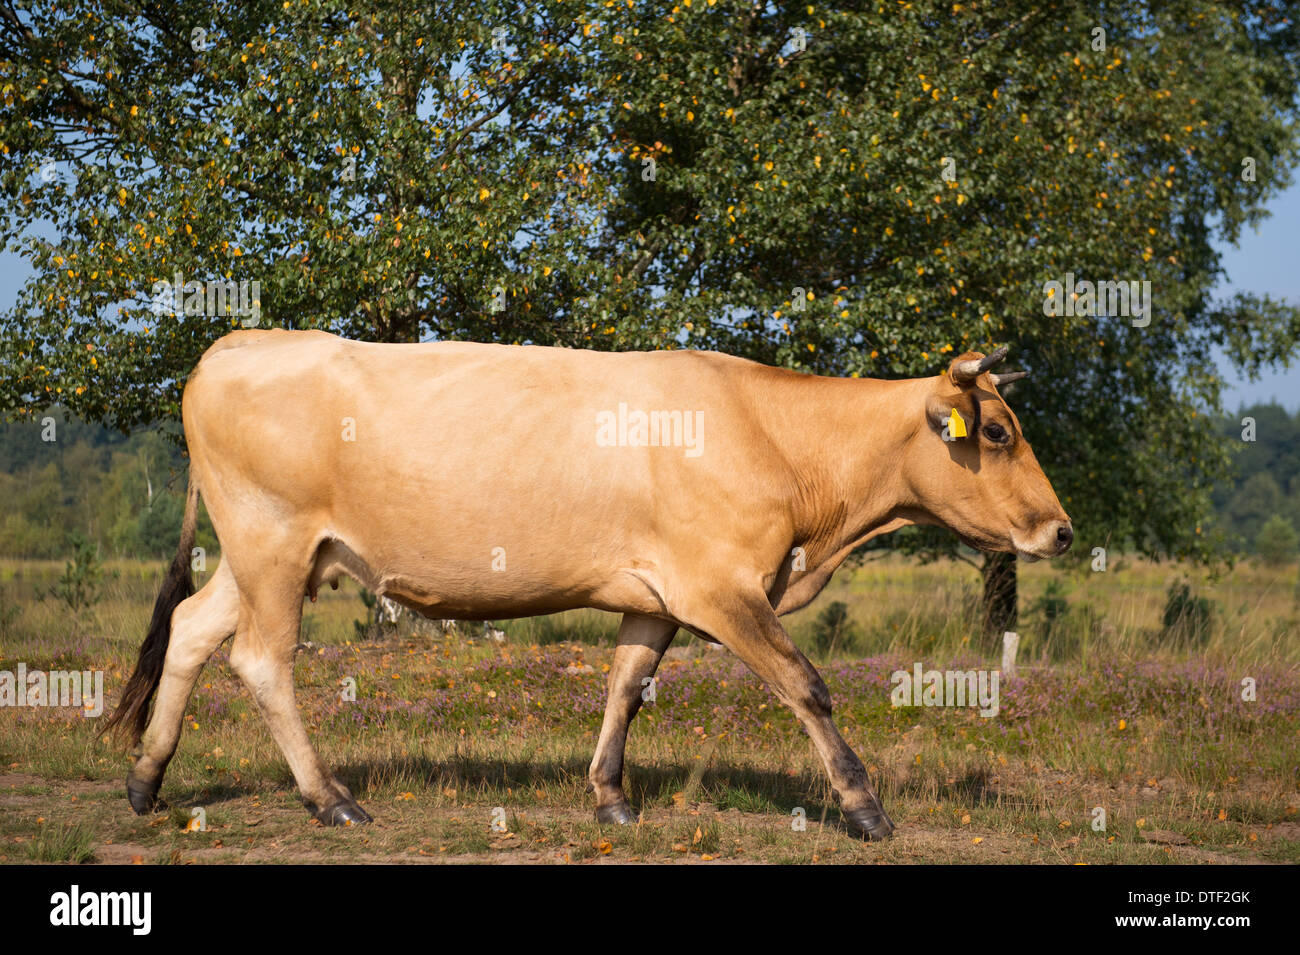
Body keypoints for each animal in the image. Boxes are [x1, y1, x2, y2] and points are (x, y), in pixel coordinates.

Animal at [104, 330, 1072, 840]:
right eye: (995, 431)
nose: (1060, 528)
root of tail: (238, 340)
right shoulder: (721, 585)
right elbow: (807, 684)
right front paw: (865, 805)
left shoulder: (656, 596)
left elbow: (625, 688)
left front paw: (610, 795)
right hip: (272, 542)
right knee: (261, 659)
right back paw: (329, 797)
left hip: (262, 554)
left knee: (191, 628)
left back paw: (148, 781)